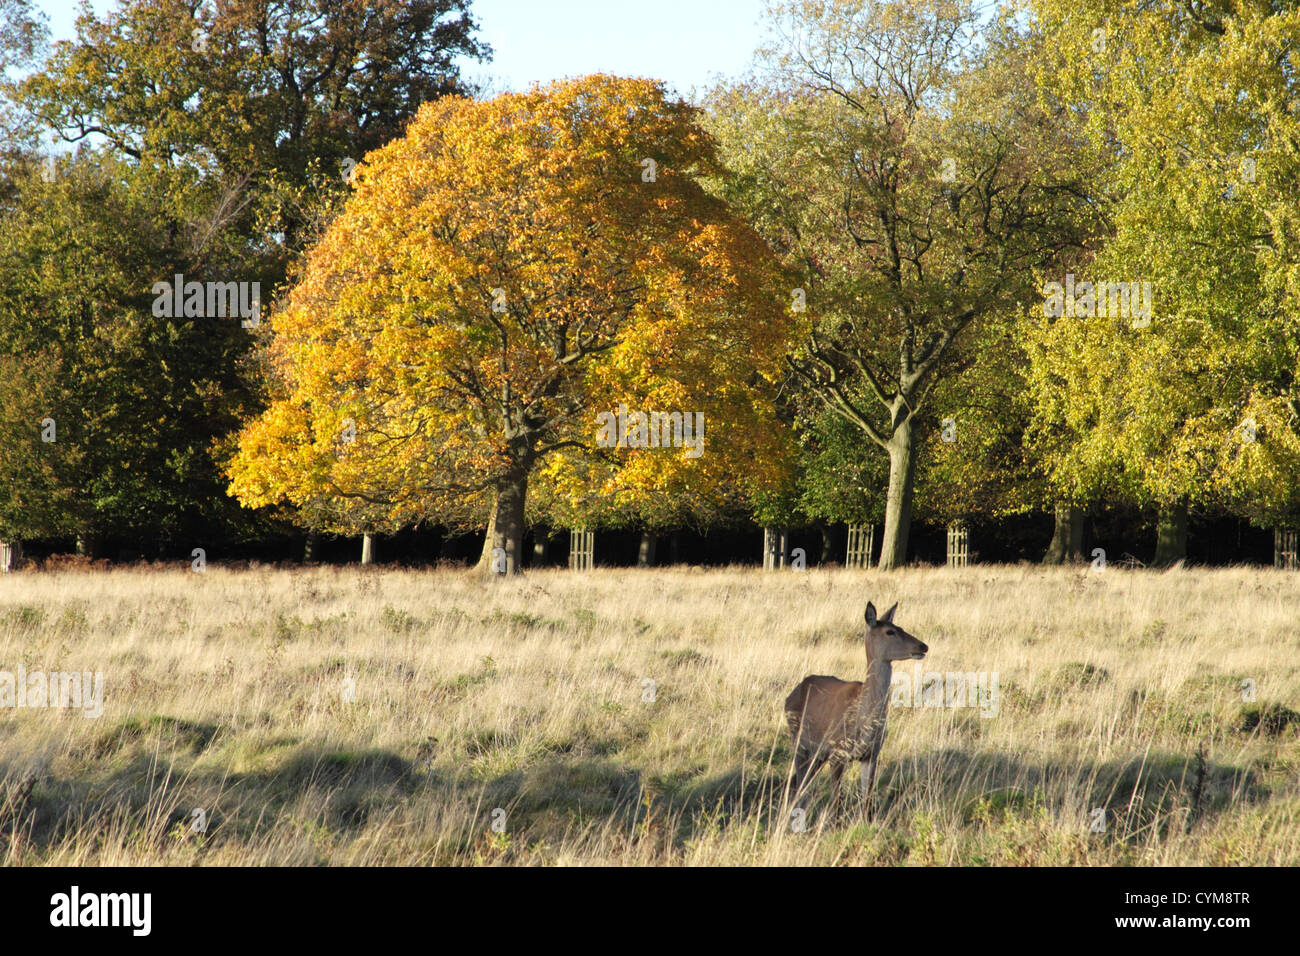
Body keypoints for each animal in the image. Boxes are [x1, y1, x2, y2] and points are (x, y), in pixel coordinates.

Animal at [784, 601, 927, 822]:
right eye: (890, 631)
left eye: (900, 627)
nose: (922, 646)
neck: (864, 719)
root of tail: (790, 697)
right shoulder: (838, 753)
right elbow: (837, 803)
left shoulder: (871, 754)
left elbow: (867, 802)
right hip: (800, 744)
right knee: (799, 785)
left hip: (817, 755)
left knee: (798, 784)